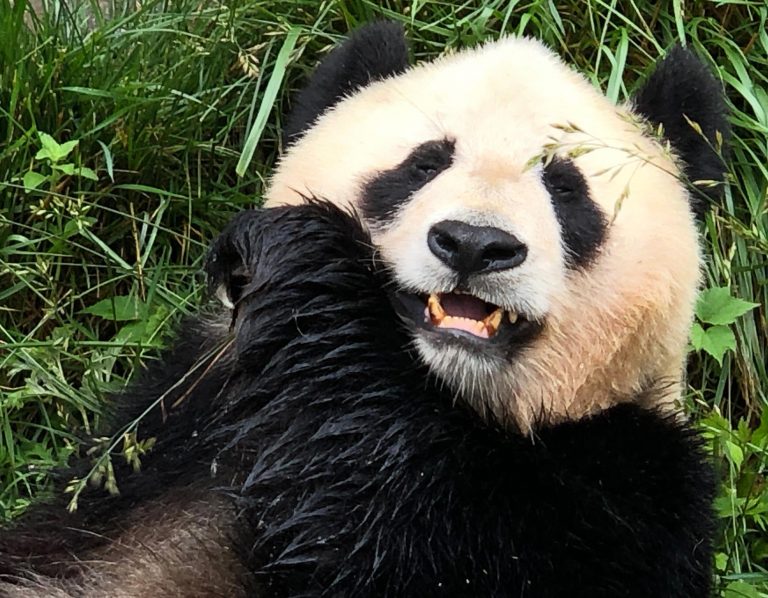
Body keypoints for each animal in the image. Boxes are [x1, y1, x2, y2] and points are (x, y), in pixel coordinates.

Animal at [0, 21, 728, 598]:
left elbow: (408, 533)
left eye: (565, 187)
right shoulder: (177, 420)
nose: (474, 242)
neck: (448, 397)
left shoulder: (634, 489)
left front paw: (302, 251)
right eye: (422, 165)